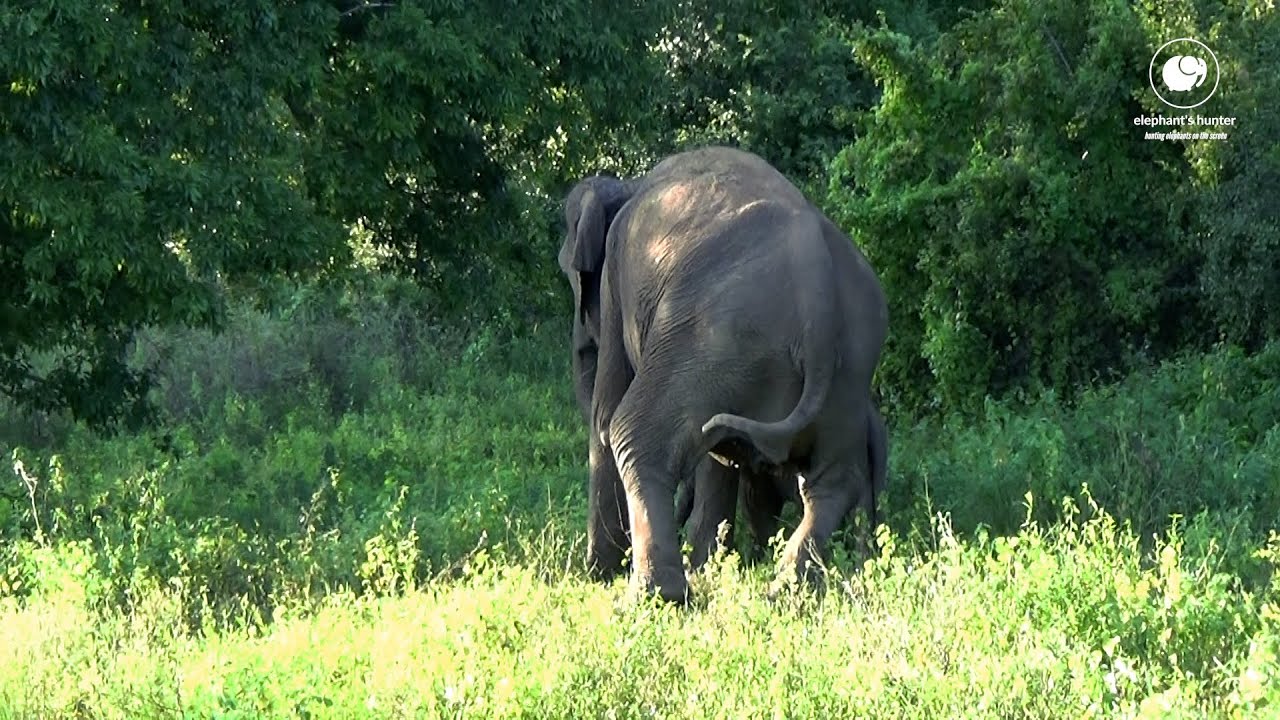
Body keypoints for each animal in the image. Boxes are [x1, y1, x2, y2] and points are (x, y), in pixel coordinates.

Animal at [558, 146, 888, 603]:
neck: (628, 183)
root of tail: (818, 295)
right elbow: (717, 454)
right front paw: (707, 566)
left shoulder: (615, 288)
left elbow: (605, 418)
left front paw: (600, 576)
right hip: (846, 372)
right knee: (829, 480)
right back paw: (786, 592)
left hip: (710, 338)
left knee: (635, 434)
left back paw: (655, 597)